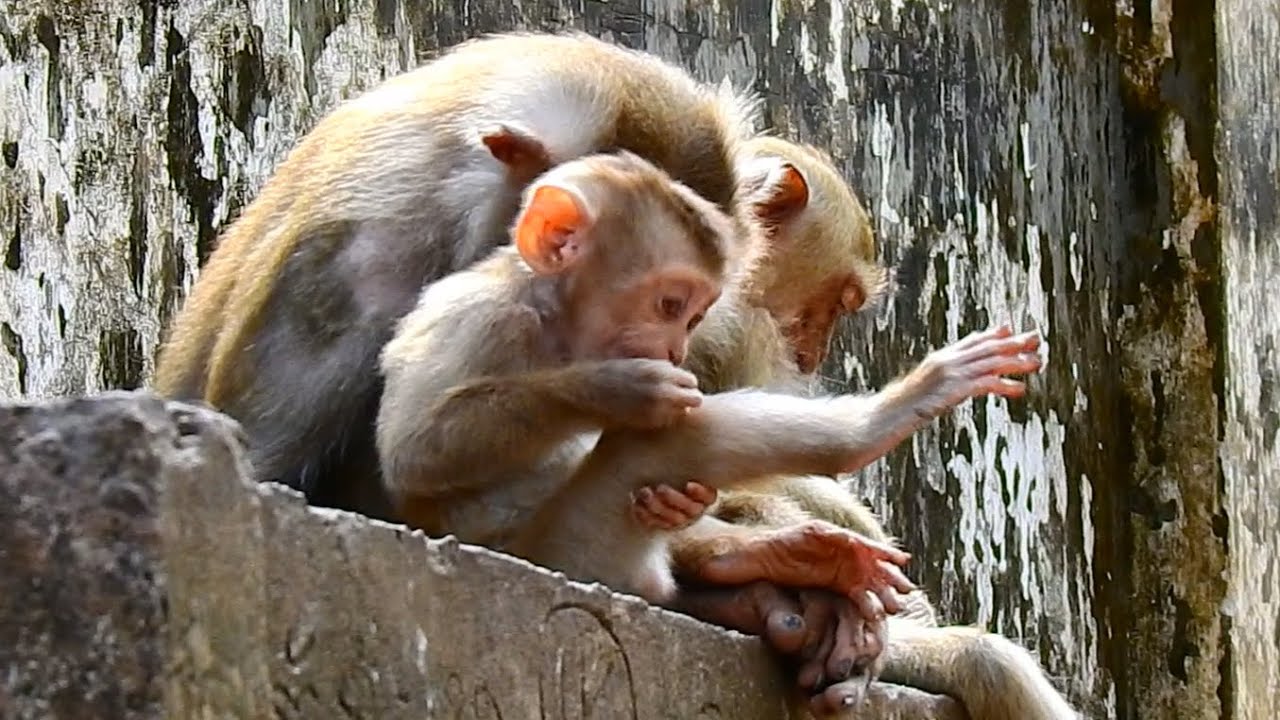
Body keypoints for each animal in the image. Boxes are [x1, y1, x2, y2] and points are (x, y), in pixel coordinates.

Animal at [375, 148, 1043, 621]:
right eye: (838, 298)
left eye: (690, 314)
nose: (813, 354)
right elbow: (415, 451)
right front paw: (621, 389)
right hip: (573, 547)